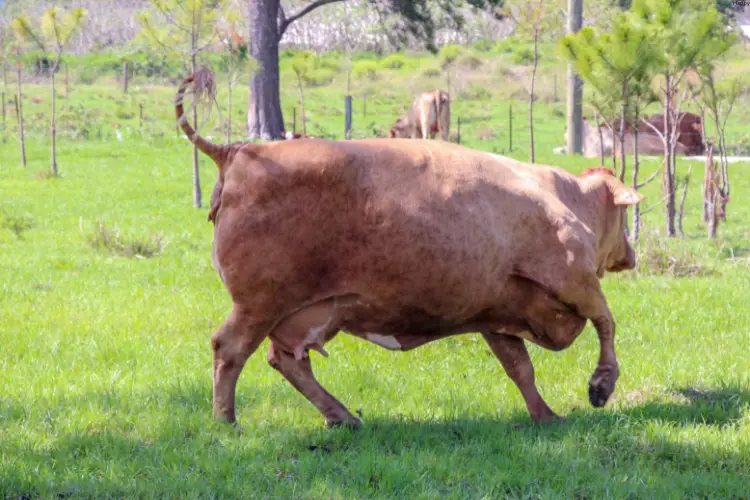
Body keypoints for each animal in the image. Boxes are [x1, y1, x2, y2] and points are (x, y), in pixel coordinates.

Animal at [176, 71, 645, 427]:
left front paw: (544, 415)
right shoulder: (575, 279)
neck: (565, 194)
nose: (630, 254)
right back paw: (226, 421)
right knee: (230, 349)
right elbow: (607, 322)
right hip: (259, 304)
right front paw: (602, 386)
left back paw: (342, 416)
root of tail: (239, 151)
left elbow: (520, 368)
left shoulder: (497, 310)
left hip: (312, 312)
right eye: (622, 216)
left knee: (287, 361)